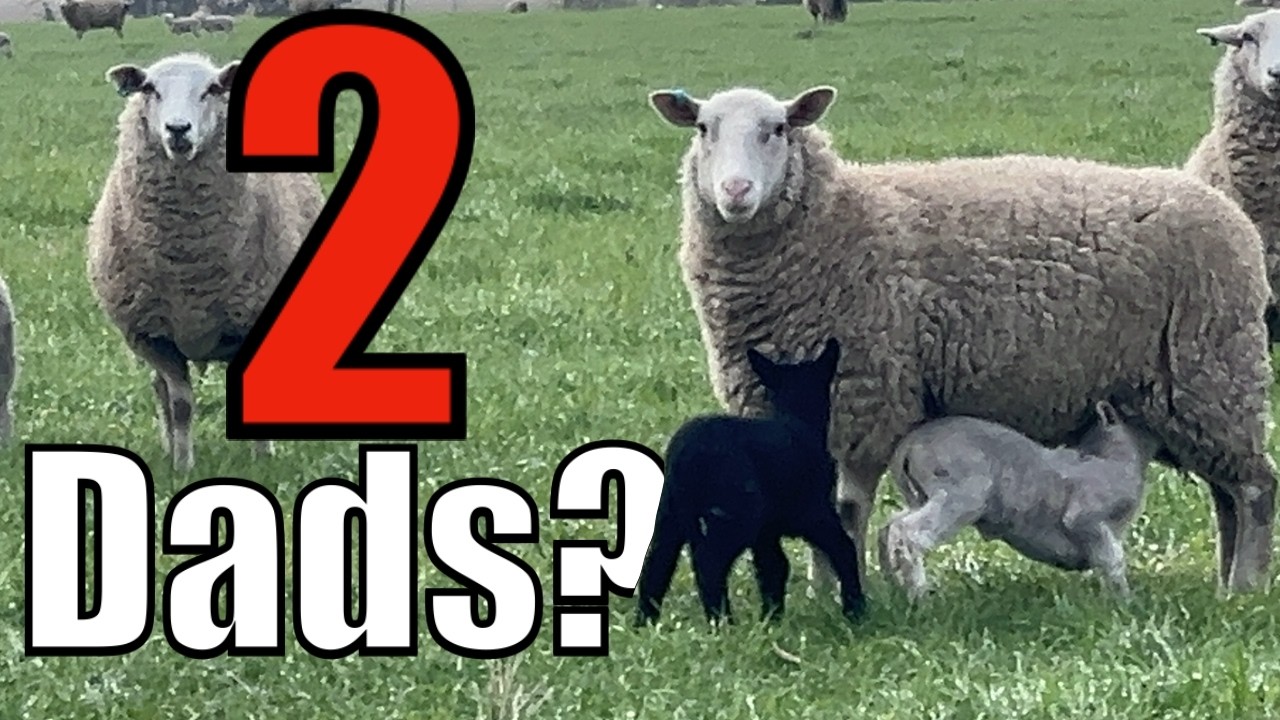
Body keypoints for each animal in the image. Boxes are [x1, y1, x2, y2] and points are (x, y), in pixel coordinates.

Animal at [86, 52, 325, 473]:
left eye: (212, 89)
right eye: (150, 89)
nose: (178, 130)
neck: (188, 266)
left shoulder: (249, 322)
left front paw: (262, 458)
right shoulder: (156, 336)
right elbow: (180, 403)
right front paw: (183, 466)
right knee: (160, 391)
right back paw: (168, 447)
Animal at [634, 338, 866, 626]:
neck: (796, 418)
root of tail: (686, 451)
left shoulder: (766, 531)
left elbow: (773, 566)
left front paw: (771, 619)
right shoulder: (813, 511)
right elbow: (843, 548)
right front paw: (856, 609)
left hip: (671, 514)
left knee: (656, 563)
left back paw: (645, 623)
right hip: (738, 512)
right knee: (709, 562)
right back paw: (722, 623)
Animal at [877, 401, 1160, 601]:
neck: (1114, 461)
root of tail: (909, 445)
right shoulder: (1086, 517)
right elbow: (1113, 559)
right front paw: (1124, 603)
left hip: (918, 495)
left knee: (888, 527)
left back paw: (893, 584)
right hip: (960, 496)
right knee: (909, 534)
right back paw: (919, 596)